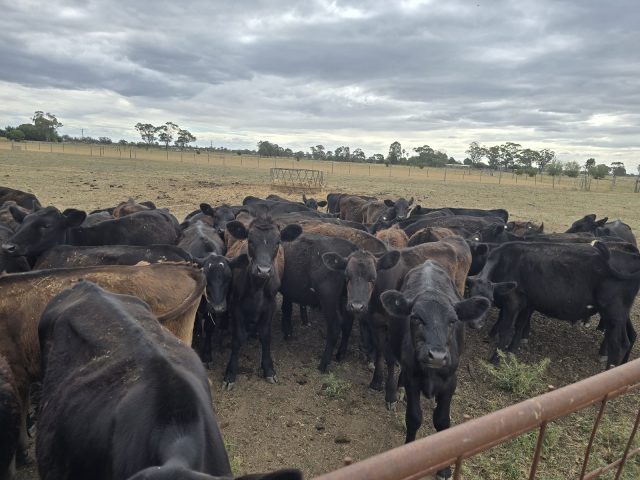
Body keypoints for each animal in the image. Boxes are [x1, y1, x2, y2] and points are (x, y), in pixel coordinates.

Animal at [222, 217, 302, 389]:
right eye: (250, 240)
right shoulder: (235, 305)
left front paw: (268, 369)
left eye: (278, 242)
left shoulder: (270, 306)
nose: (263, 270)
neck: (257, 288)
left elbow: (266, 336)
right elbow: (237, 338)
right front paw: (230, 373)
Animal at [380, 261, 490, 480]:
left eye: (453, 321)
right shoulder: (413, 379)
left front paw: (444, 468)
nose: (437, 355)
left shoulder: (450, 381)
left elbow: (442, 421)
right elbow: (413, 418)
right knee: (391, 363)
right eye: (416, 318)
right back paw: (392, 394)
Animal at [467, 241, 640, 366]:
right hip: (619, 313)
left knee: (619, 344)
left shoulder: (513, 302)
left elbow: (506, 329)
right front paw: (512, 350)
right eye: (470, 297)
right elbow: (520, 326)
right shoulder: (528, 302)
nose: (475, 323)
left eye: (489, 301)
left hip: (613, 311)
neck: (504, 261)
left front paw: (495, 359)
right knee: (630, 336)